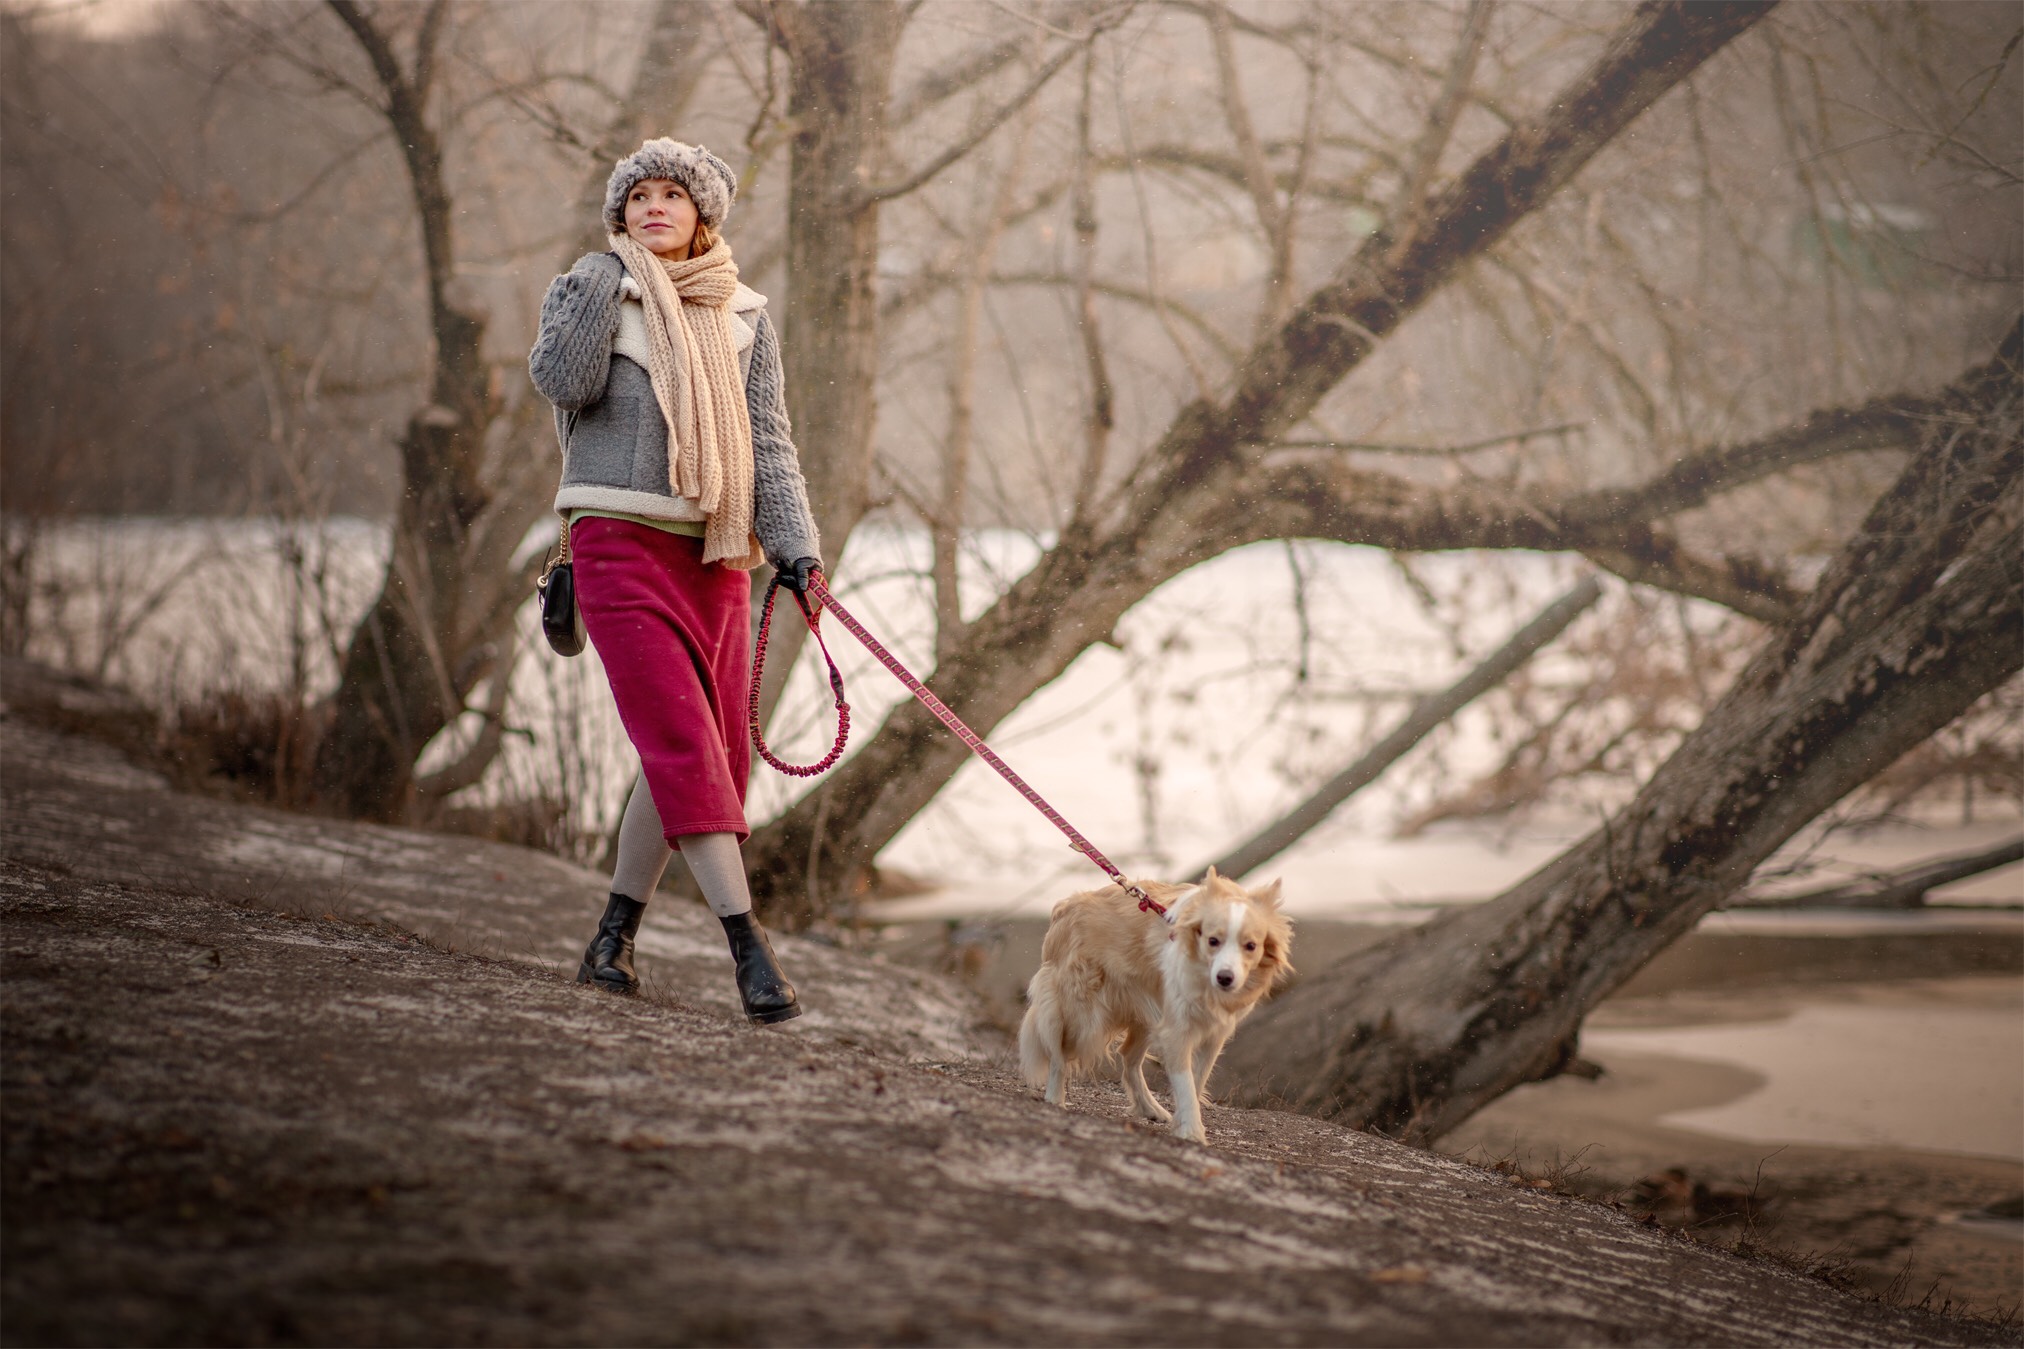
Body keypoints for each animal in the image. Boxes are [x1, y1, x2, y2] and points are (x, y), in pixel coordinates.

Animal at [1020, 869, 1287, 1148]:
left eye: (1251, 946)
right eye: (1213, 941)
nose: (1225, 978)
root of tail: (1065, 907)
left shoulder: (1214, 1033)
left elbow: (1196, 1080)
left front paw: (1181, 1122)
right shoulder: (1176, 1029)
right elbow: (1185, 1081)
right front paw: (1191, 1131)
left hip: (1147, 1014)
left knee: (1128, 1057)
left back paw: (1150, 1108)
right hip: (1085, 1015)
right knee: (1059, 1051)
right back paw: (1055, 1098)